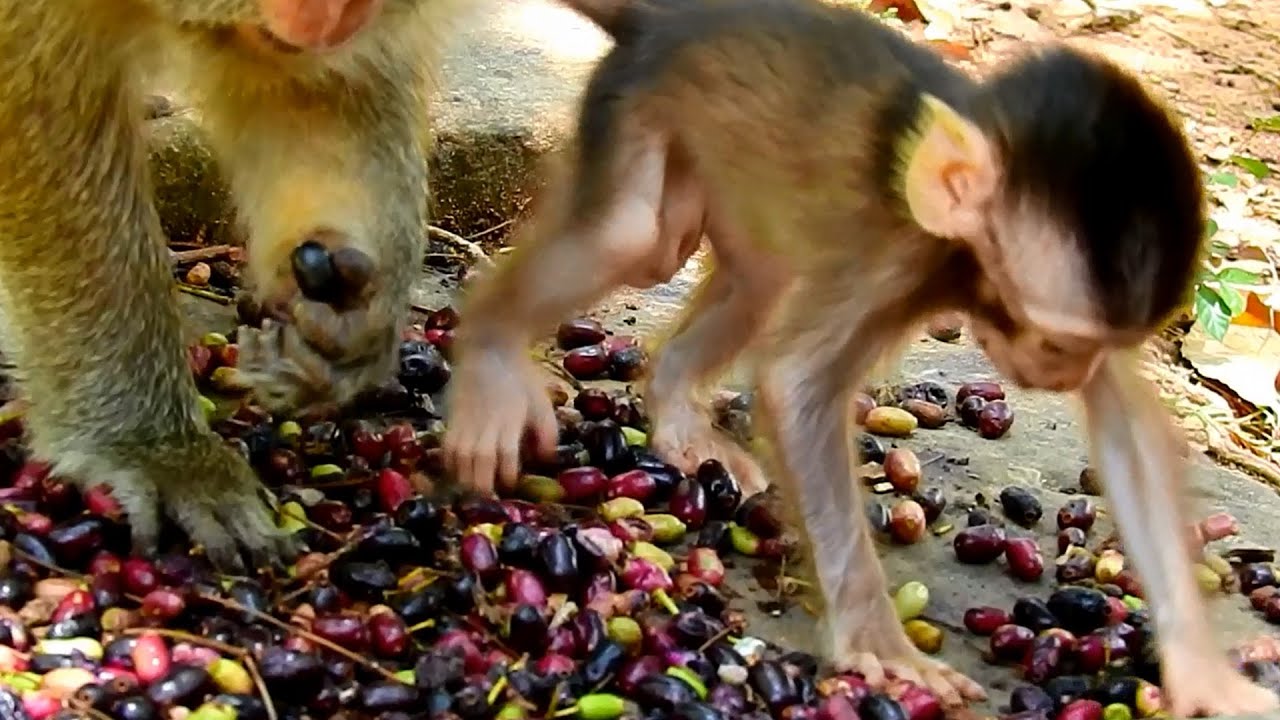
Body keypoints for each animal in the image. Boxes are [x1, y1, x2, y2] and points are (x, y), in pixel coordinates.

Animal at [440, 0, 1280, 715]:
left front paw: (1200, 671)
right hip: (636, 105)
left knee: (755, 274)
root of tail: (668, 17)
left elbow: (1129, 427)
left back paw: (677, 413)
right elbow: (796, 384)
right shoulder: (894, 251)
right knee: (636, 239)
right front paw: (879, 640)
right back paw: (489, 350)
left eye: (1090, 350)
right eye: (1055, 340)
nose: (1064, 373)